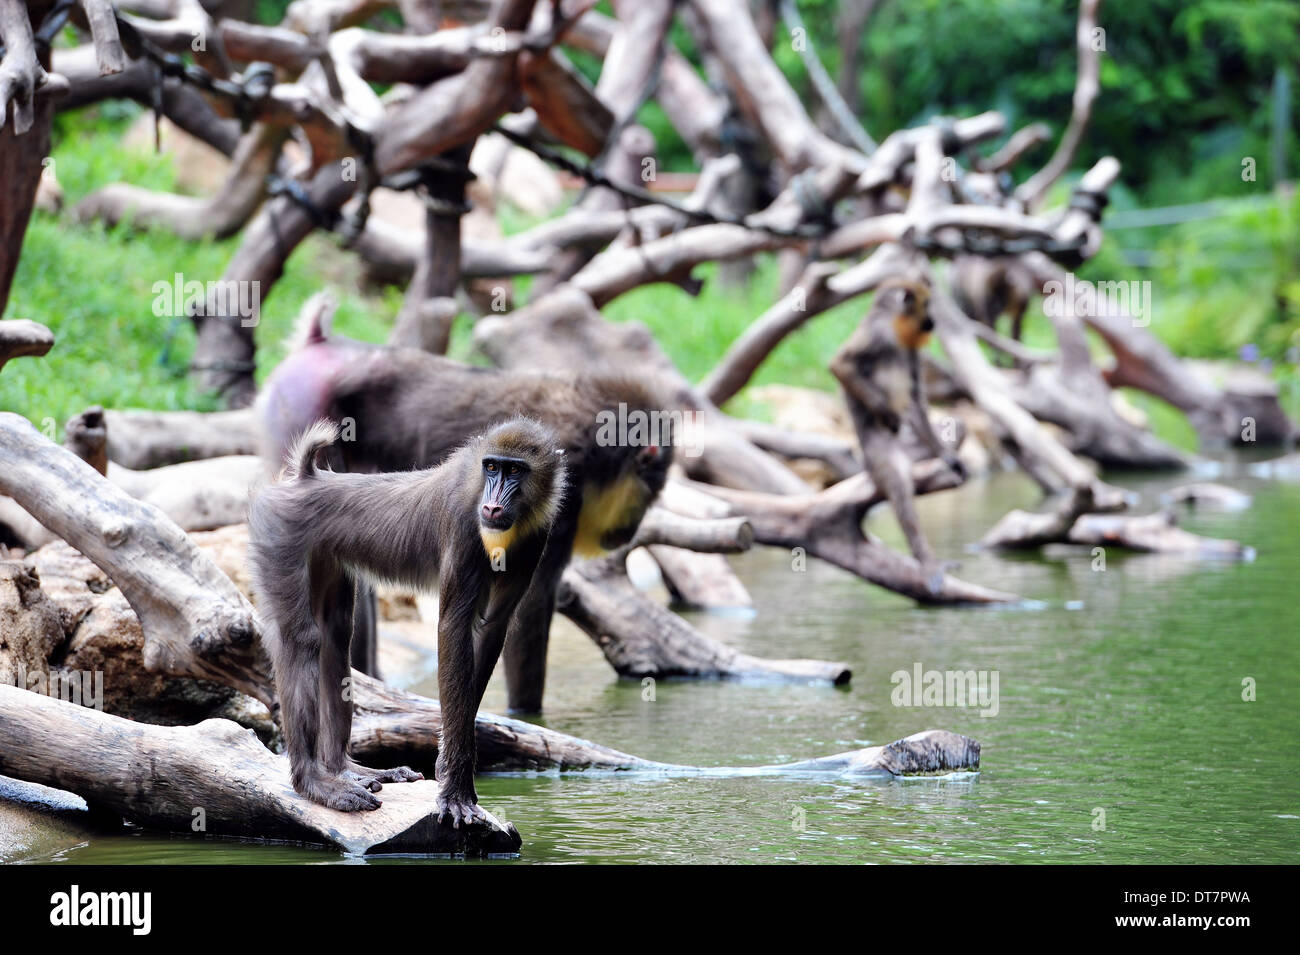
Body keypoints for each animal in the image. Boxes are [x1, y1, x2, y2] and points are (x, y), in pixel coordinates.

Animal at [248, 417, 566, 823]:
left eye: (515, 470)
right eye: (492, 467)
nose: (493, 506)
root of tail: (306, 478)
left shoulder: (537, 535)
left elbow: (491, 629)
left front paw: (446, 766)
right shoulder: (463, 525)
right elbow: (453, 628)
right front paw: (457, 792)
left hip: (325, 557)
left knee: (335, 637)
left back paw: (346, 771)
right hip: (280, 540)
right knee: (301, 639)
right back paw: (314, 783)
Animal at [257, 313, 674, 715]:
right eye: (652, 488)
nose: (627, 532)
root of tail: (318, 341)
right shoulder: (563, 503)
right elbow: (532, 609)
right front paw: (525, 712)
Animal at [830, 277, 966, 590]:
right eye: (926, 305)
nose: (932, 321)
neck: (894, 328)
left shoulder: (910, 352)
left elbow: (915, 397)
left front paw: (945, 455)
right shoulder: (875, 334)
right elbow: (841, 364)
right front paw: (887, 415)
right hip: (876, 448)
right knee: (897, 482)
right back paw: (926, 562)